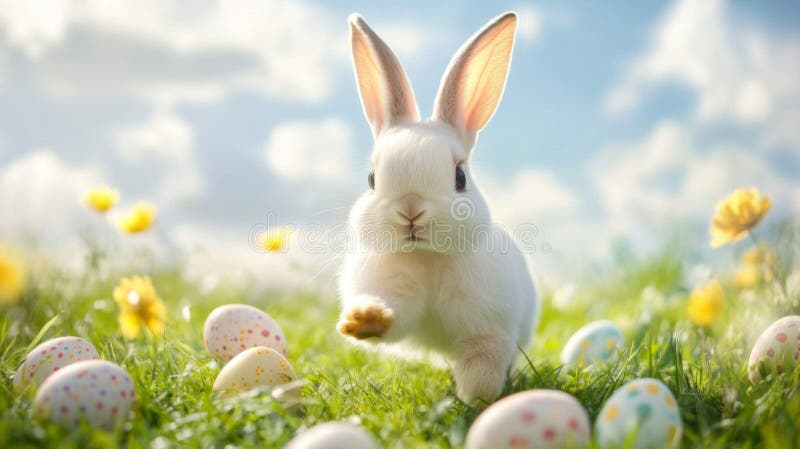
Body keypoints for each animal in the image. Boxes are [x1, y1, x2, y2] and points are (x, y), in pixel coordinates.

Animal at [337, 11, 539, 404]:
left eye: (459, 176)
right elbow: (393, 320)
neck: (428, 258)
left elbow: (482, 367)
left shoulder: (488, 330)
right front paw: (365, 320)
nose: (410, 211)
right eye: (372, 178)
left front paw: (478, 404)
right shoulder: (394, 293)